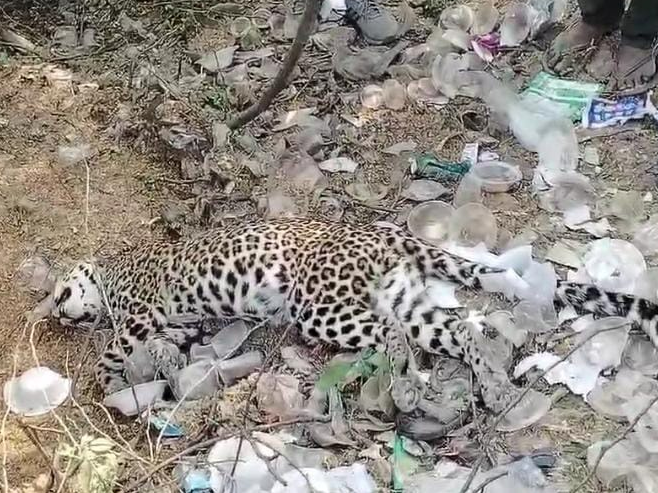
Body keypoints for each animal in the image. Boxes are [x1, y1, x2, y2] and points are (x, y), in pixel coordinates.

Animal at [48, 217, 658, 412]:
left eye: (58, 293)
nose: (56, 315)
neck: (111, 269)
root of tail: (385, 232)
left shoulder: (141, 308)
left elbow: (117, 345)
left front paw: (105, 380)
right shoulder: (178, 320)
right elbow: (174, 341)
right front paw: (167, 367)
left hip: (320, 305)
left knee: (391, 335)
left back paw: (406, 387)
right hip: (403, 299)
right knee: (453, 328)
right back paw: (490, 386)